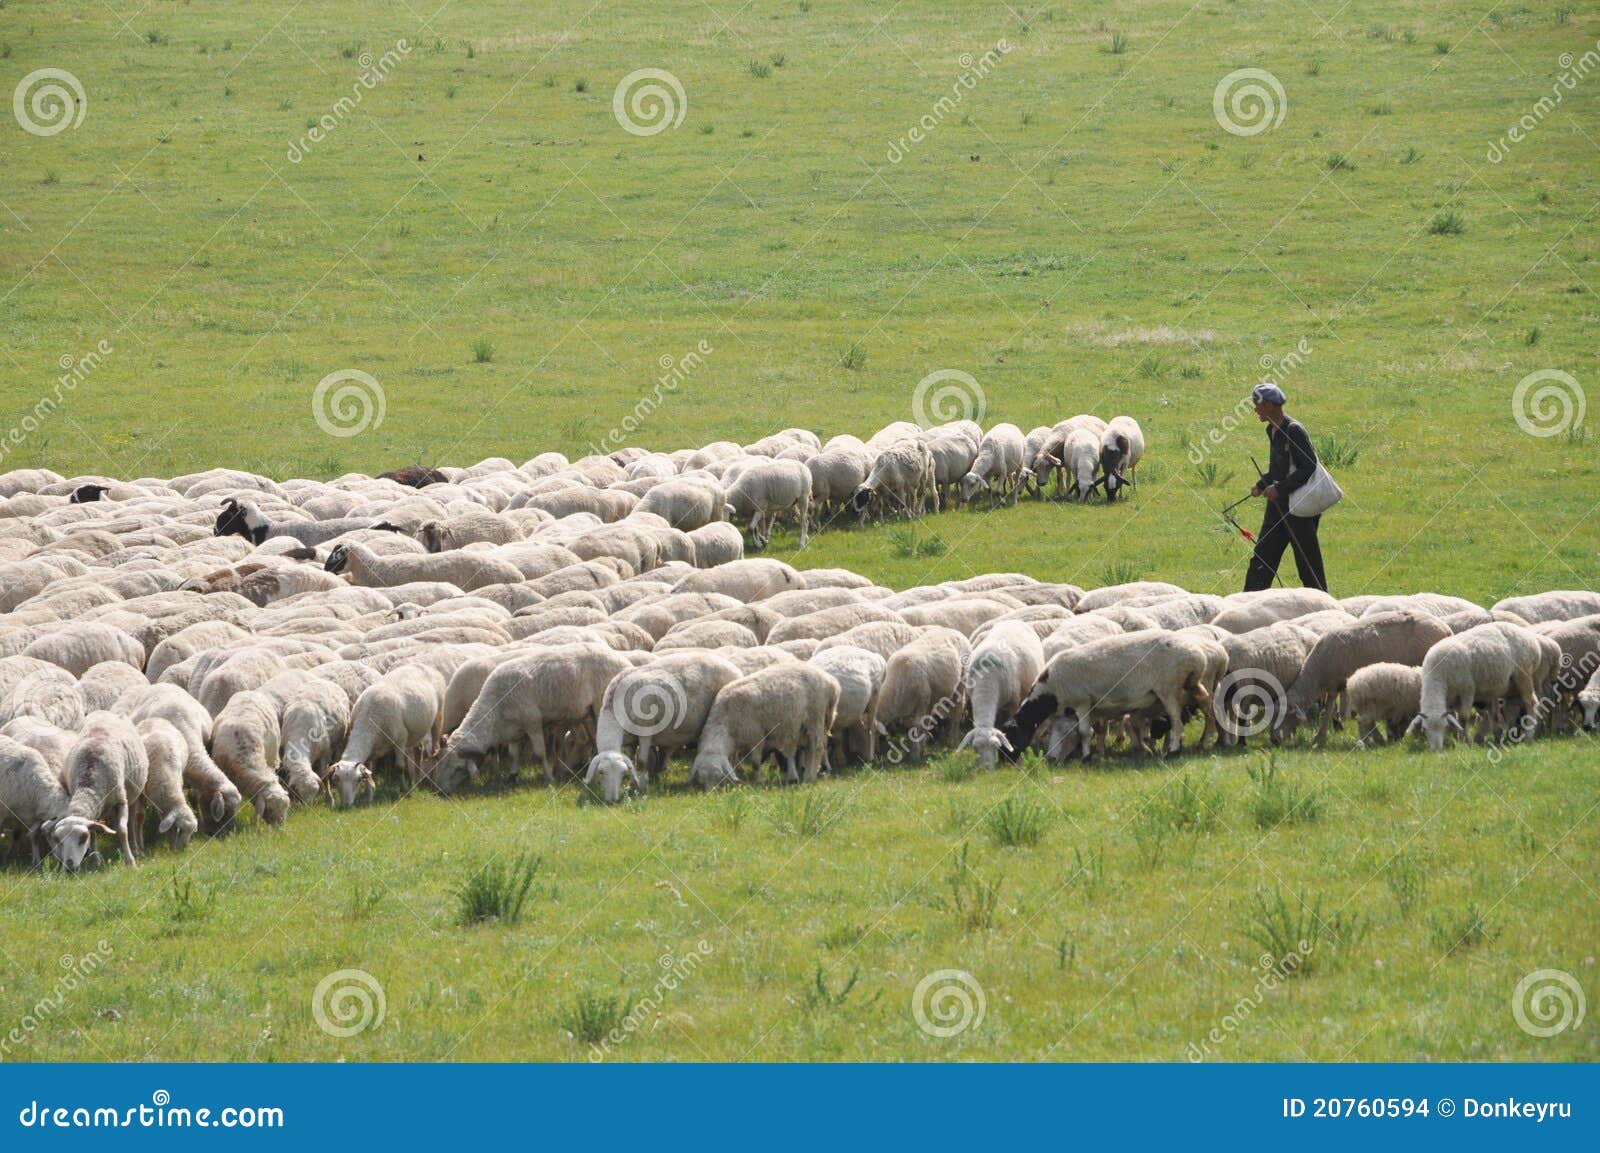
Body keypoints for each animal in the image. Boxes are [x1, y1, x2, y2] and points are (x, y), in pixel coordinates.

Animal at [44, 712, 149, 870]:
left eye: (83, 838)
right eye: (59, 840)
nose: (69, 868)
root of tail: (104, 712)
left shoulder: (120, 801)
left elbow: (122, 831)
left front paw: (130, 862)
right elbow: (94, 831)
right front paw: (95, 861)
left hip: (134, 793)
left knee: (131, 821)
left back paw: (136, 848)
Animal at [688, 663, 840, 787]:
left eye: (717, 776)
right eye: (702, 778)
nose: (710, 792)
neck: (724, 721)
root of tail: (831, 682)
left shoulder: (756, 736)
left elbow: (755, 762)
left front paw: (759, 780)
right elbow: (733, 760)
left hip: (815, 717)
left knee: (816, 748)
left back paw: (809, 777)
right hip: (805, 723)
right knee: (806, 748)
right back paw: (796, 776)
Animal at [957, 622, 1045, 768]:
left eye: (996, 746)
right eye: (975, 747)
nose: (986, 769)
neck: (987, 682)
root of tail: (1015, 621)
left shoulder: (1013, 704)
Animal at [1408, 622, 1544, 749]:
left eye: (1444, 727)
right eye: (1424, 729)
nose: (1436, 750)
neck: (1437, 675)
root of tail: (1532, 640)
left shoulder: (1467, 689)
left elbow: (1463, 718)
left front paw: (1466, 743)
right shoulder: (1450, 698)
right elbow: (1455, 718)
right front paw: (1457, 740)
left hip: (1523, 674)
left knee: (1531, 703)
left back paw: (1528, 738)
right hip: (1509, 686)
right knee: (1508, 709)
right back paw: (1503, 739)